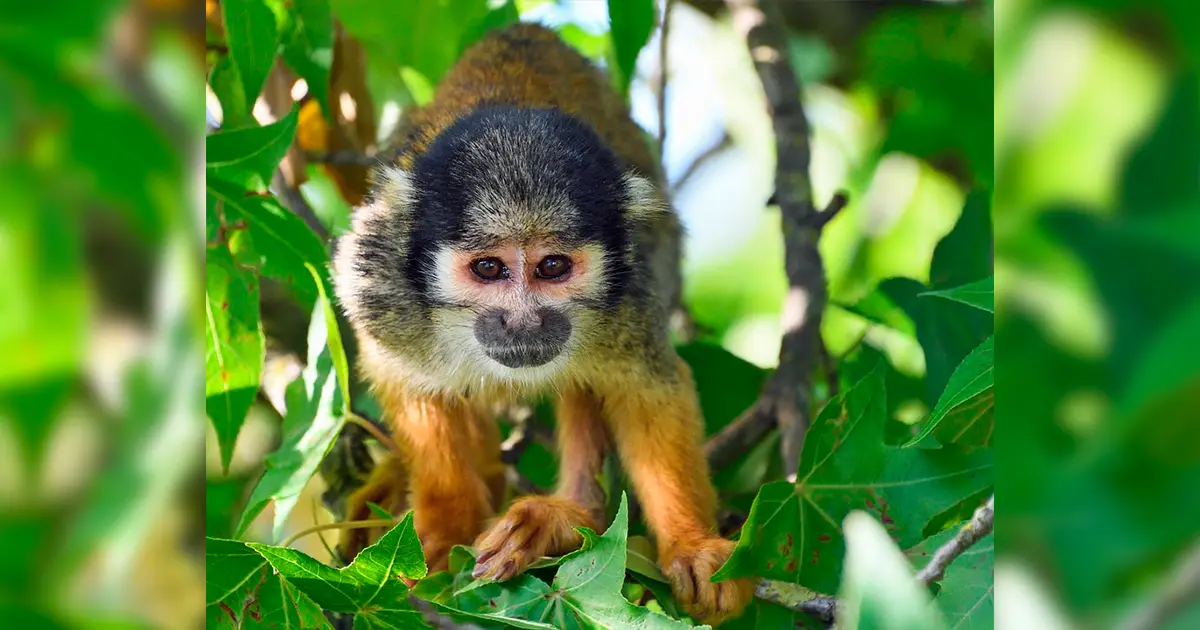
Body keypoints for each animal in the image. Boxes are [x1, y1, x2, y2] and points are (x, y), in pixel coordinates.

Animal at [331, 23, 754, 625]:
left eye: (552, 267)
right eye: (489, 269)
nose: (523, 323)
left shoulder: (633, 292)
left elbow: (647, 389)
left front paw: (693, 546)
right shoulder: (379, 284)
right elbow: (405, 379)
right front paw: (441, 527)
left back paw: (570, 519)